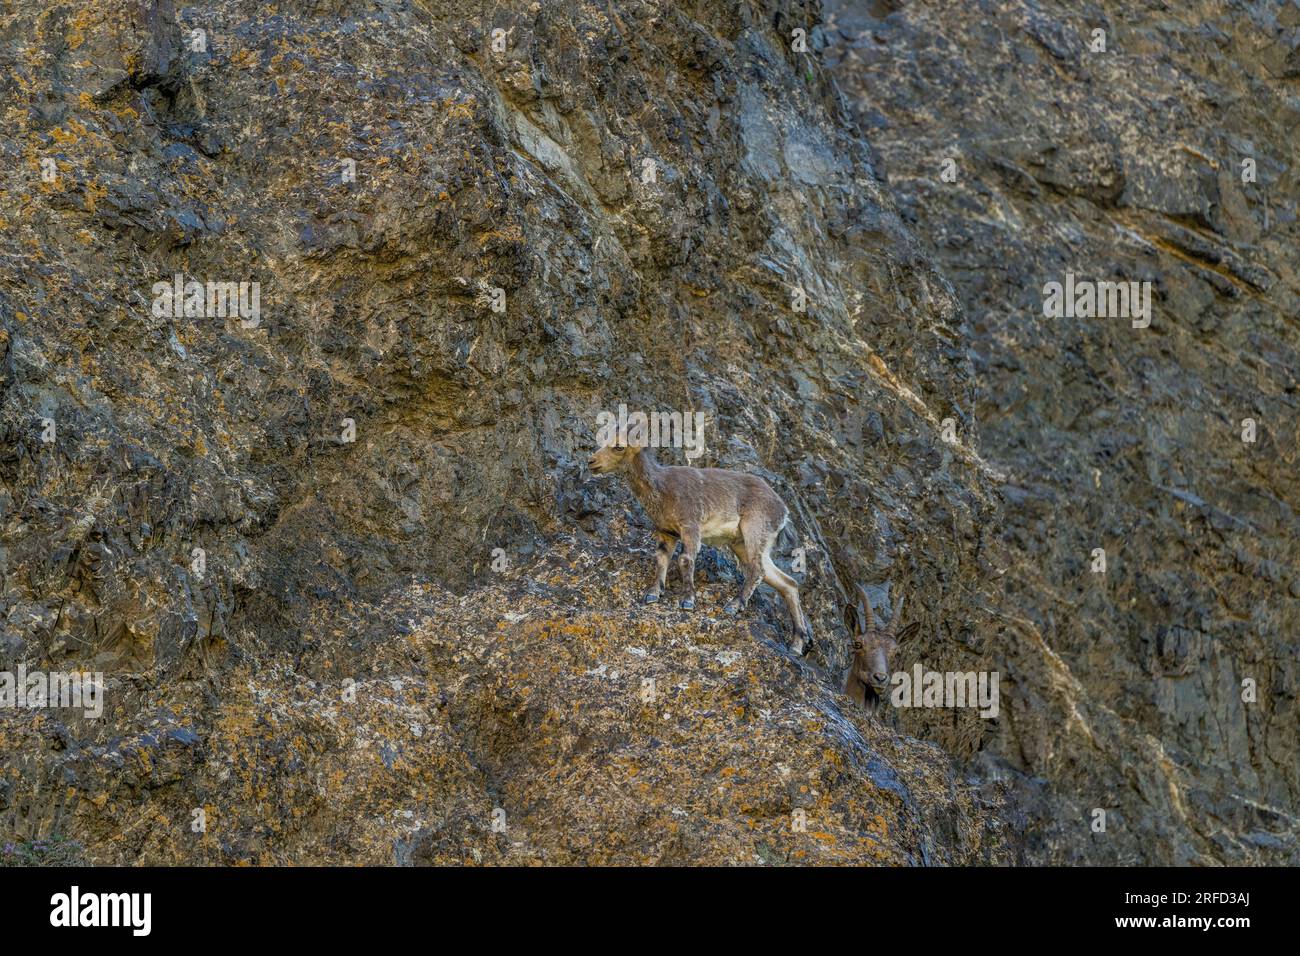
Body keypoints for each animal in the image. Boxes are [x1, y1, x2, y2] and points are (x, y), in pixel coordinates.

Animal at [587, 438, 812, 654]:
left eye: (618, 446)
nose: (591, 461)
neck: (662, 488)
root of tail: (784, 511)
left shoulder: (690, 525)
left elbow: (685, 559)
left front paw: (687, 600)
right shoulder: (666, 532)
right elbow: (661, 558)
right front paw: (652, 593)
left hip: (754, 530)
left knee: (758, 571)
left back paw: (734, 606)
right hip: (742, 544)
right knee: (787, 583)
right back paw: (796, 645)